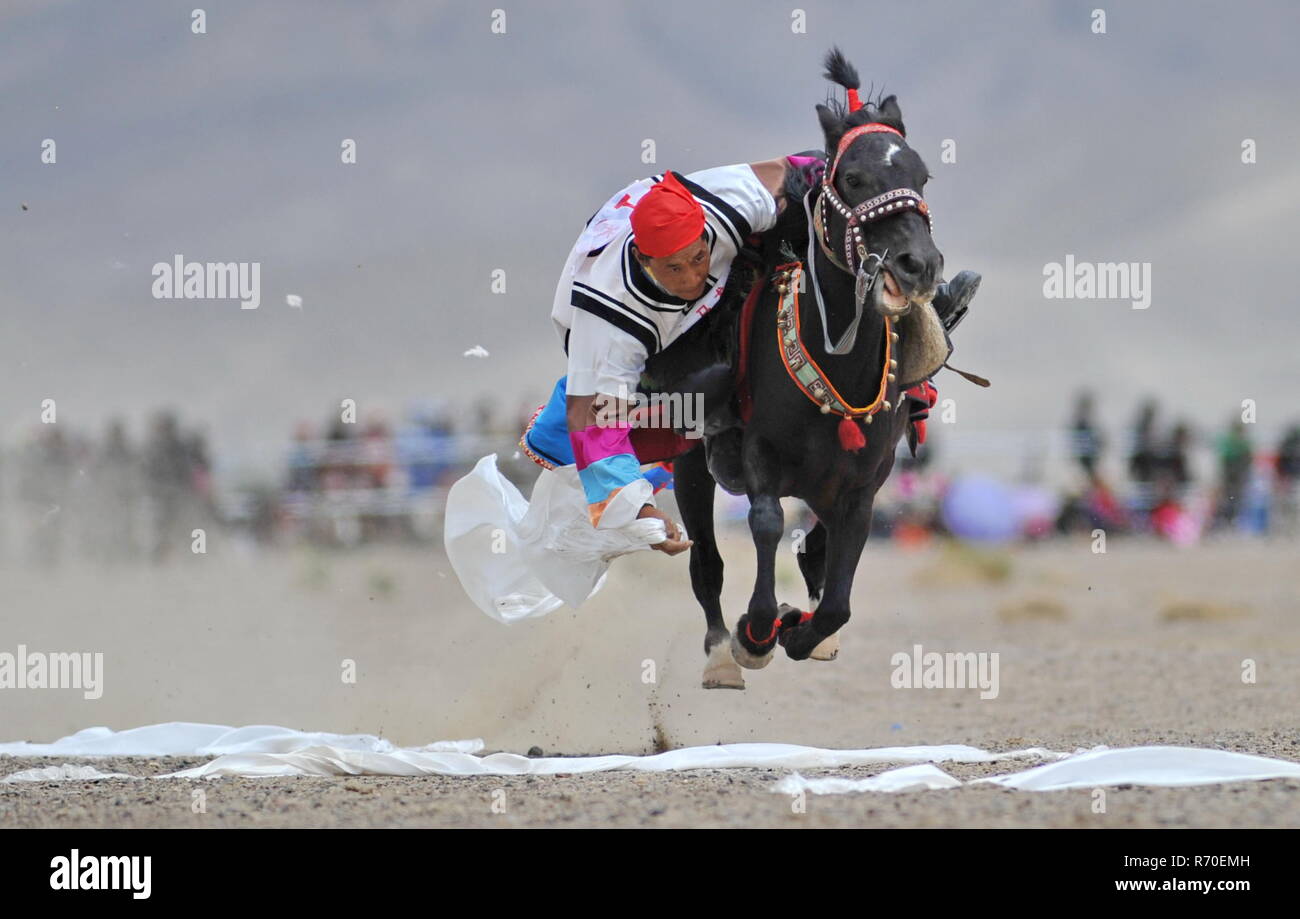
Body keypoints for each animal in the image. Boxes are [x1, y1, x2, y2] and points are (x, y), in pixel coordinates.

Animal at [640, 48, 958, 689]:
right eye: (853, 178)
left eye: (923, 178)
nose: (918, 265)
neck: (838, 362)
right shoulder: (760, 456)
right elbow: (764, 523)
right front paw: (758, 633)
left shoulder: (863, 483)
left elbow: (838, 595)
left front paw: (802, 631)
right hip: (691, 461)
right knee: (707, 561)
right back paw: (721, 655)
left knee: (815, 545)